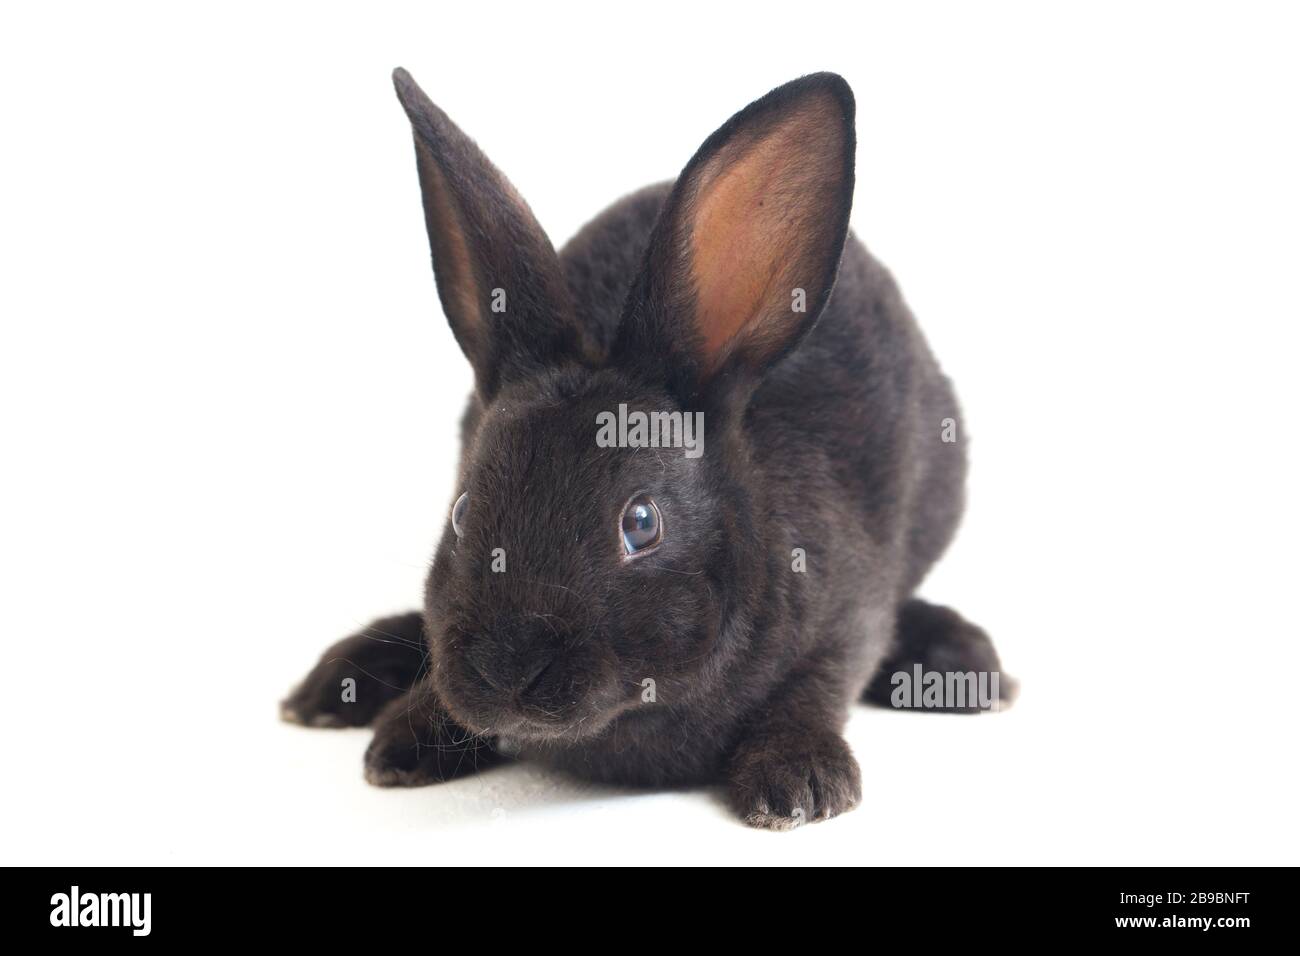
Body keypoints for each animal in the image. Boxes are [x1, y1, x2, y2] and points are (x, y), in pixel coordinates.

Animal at [280, 67, 1013, 829]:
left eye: (641, 524)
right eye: (460, 513)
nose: (506, 668)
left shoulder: (847, 621)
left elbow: (817, 687)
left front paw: (799, 784)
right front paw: (401, 739)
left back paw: (963, 663)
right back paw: (331, 684)